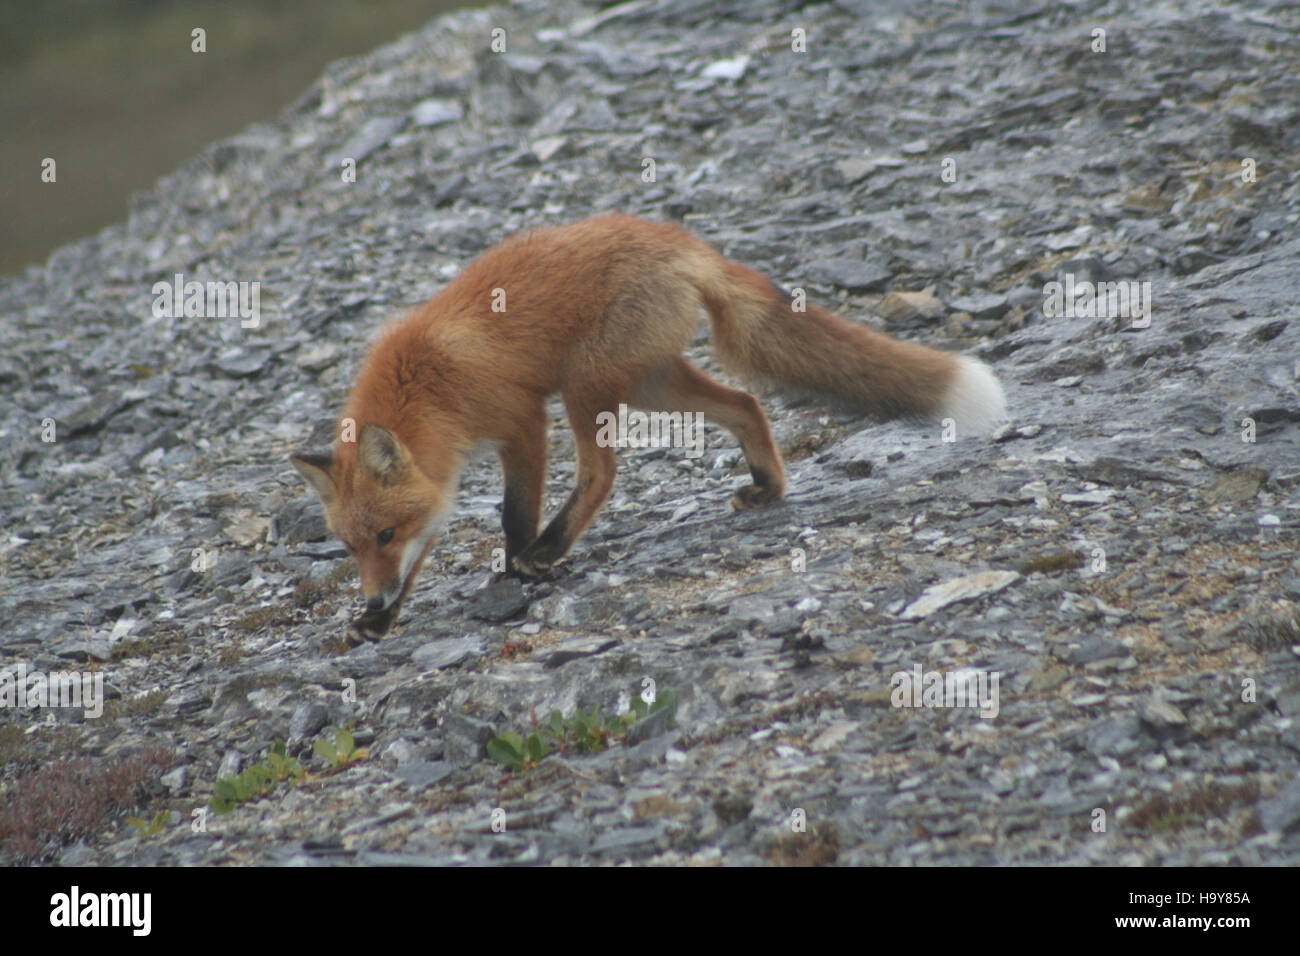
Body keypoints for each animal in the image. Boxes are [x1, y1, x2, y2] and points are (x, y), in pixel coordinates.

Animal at [290, 214, 1006, 637]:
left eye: (384, 533)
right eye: (351, 547)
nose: (372, 602)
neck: (429, 383)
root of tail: (684, 243)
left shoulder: (521, 421)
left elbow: (513, 513)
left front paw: (516, 568)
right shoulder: (443, 471)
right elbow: (427, 545)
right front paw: (384, 619)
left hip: (588, 388)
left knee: (602, 472)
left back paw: (552, 549)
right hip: (651, 383)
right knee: (745, 403)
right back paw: (767, 487)